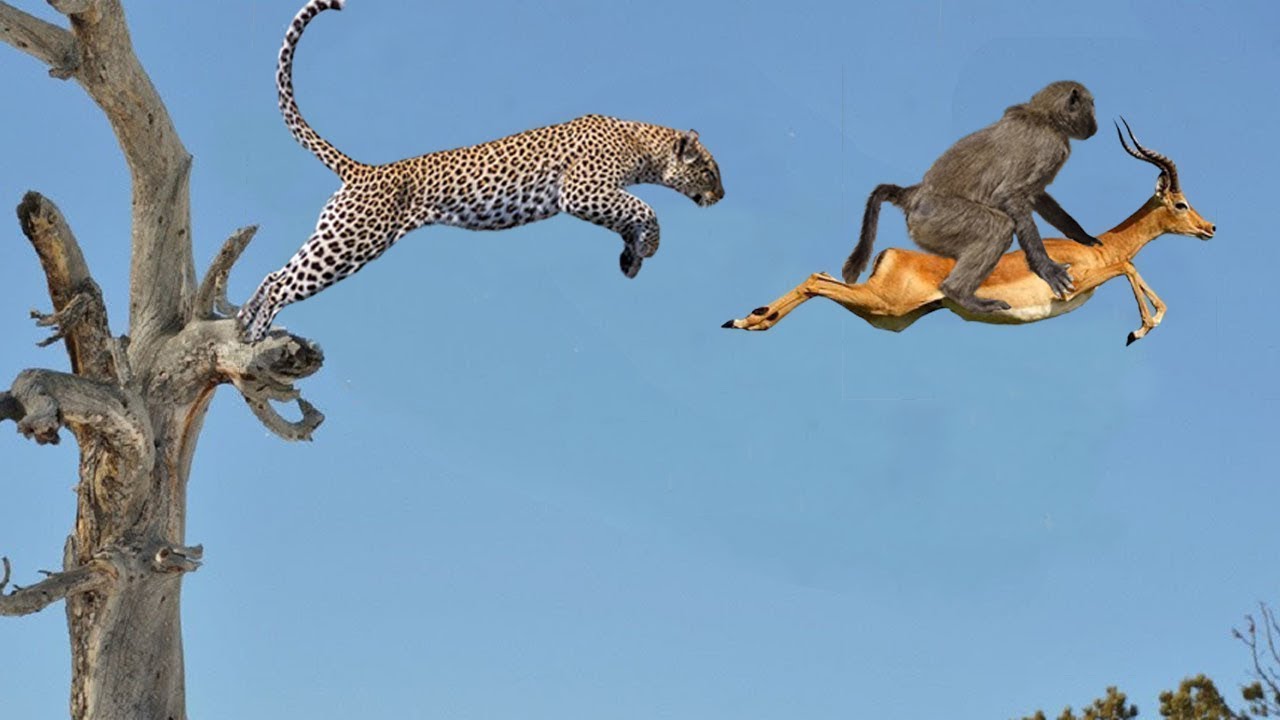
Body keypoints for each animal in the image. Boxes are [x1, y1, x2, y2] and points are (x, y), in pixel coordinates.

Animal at [237, 0, 725, 341]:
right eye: (710, 172)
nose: (721, 197)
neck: (644, 144)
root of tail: (364, 170)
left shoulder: (598, 196)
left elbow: (629, 217)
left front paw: (631, 257)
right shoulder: (583, 190)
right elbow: (646, 210)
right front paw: (647, 248)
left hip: (336, 232)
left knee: (275, 273)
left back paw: (242, 320)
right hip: (352, 240)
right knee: (284, 282)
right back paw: (255, 335)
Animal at [724, 121, 1216, 344]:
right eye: (1179, 203)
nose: (1210, 227)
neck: (1096, 247)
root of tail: (890, 256)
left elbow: (1135, 271)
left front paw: (1141, 328)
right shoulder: (1088, 277)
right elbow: (1129, 267)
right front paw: (1140, 330)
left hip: (889, 317)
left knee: (821, 280)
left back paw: (750, 318)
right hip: (884, 303)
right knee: (816, 279)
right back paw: (748, 320)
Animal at [841, 81, 1101, 314]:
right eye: (1091, 106)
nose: (1095, 127)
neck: (1044, 115)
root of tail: (914, 195)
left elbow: (1036, 196)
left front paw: (1082, 236)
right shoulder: (1051, 148)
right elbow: (1010, 197)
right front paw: (1047, 269)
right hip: (937, 218)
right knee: (999, 228)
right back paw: (960, 294)